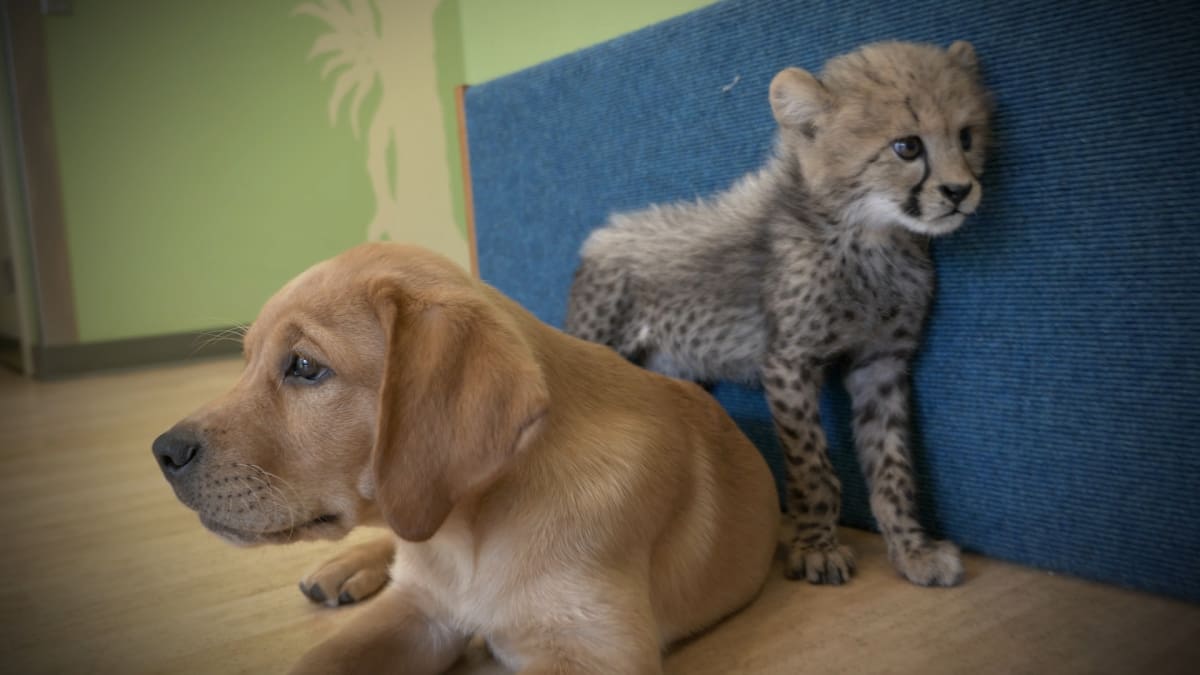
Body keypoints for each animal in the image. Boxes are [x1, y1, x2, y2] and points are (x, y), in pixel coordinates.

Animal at [565, 40, 992, 586]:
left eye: (966, 137)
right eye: (907, 147)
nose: (960, 191)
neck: (870, 236)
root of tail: (602, 234)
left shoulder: (880, 363)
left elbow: (891, 464)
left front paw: (912, 550)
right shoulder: (789, 363)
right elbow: (813, 467)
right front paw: (816, 548)